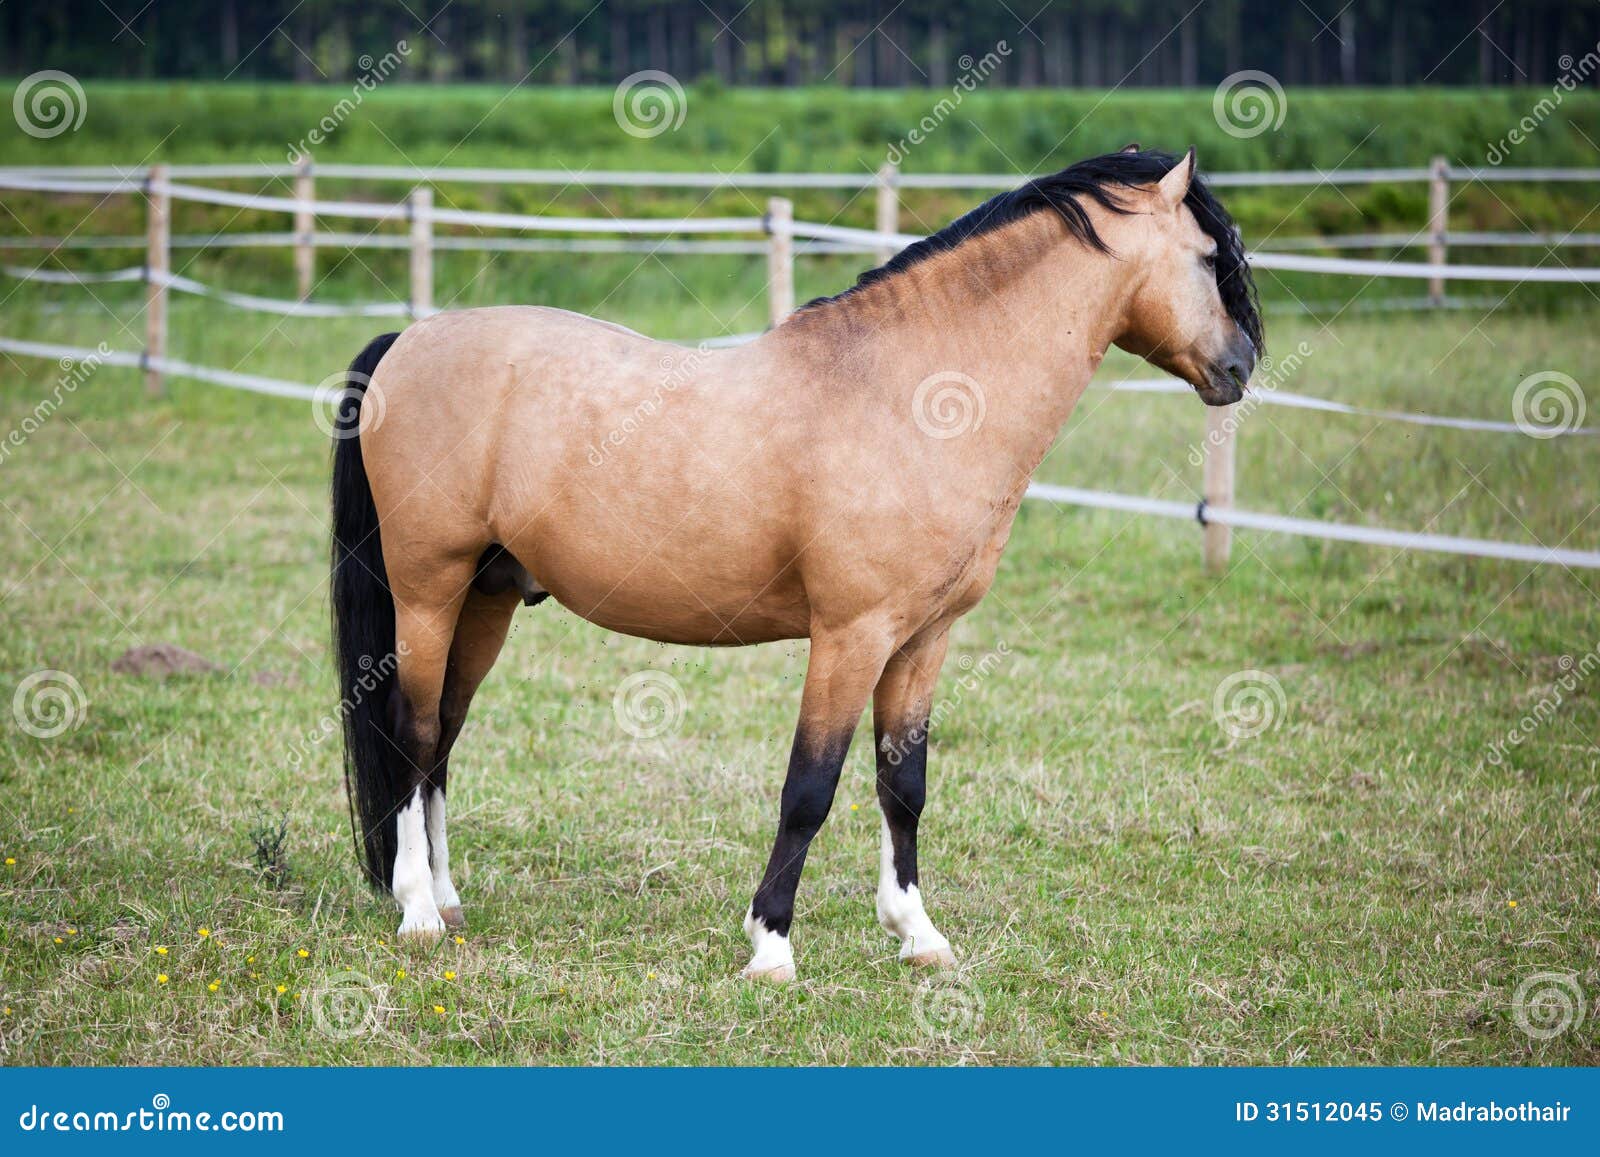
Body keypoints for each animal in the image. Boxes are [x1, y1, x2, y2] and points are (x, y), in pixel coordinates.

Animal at [330, 146, 1262, 982]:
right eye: (1209, 256)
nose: (1241, 367)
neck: (916, 395)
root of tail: (408, 341)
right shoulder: (850, 636)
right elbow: (810, 787)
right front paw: (771, 946)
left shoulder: (923, 640)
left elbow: (903, 783)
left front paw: (918, 934)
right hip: (428, 592)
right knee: (413, 732)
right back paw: (418, 911)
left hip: (485, 599)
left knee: (443, 738)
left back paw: (448, 899)